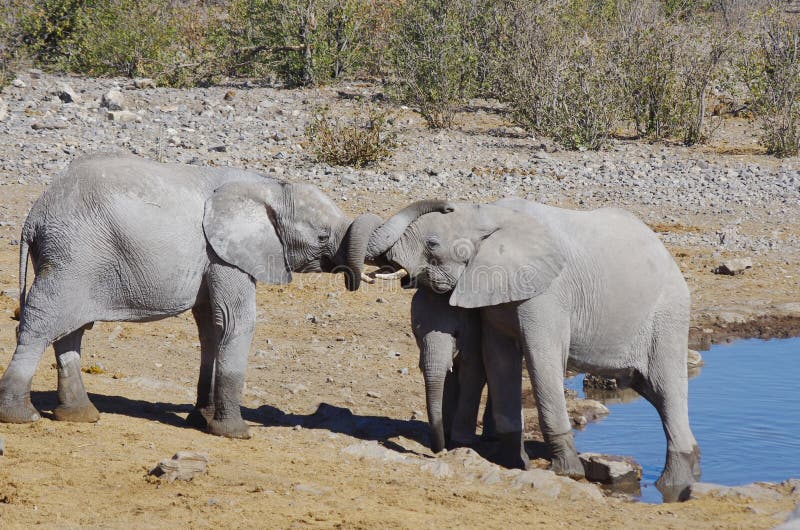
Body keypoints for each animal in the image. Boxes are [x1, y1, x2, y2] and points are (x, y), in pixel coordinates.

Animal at [0, 152, 450, 438]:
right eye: (322, 237)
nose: (447, 208)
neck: (269, 187)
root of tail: (32, 217)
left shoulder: (215, 256)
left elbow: (211, 327)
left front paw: (200, 419)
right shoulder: (225, 253)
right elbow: (237, 320)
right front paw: (234, 432)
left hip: (77, 256)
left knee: (72, 327)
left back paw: (80, 417)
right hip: (75, 252)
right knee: (44, 319)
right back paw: (21, 417)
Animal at [368, 197, 700, 494]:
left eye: (433, 244)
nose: (446, 203)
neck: (489, 215)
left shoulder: (547, 294)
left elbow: (542, 359)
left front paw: (568, 472)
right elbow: (499, 360)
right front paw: (512, 463)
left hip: (668, 315)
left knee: (666, 389)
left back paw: (671, 485)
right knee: (653, 389)